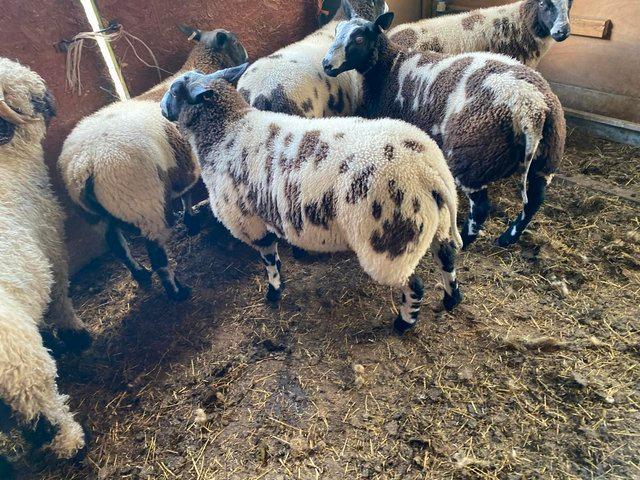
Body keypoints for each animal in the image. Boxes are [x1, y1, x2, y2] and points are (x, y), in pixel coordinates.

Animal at [58, 27, 248, 301]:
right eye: (236, 41)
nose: (247, 56)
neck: (200, 67)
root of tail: (85, 165)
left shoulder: (181, 165)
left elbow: (185, 192)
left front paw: (190, 219)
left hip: (98, 217)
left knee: (118, 247)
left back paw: (140, 274)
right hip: (143, 205)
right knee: (158, 257)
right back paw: (177, 291)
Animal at [161, 65, 464, 333]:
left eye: (175, 90)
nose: (162, 108)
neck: (225, 132)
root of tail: (427, 168)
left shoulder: (249, 222)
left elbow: (269, 260)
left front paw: (274, 292)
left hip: (391, 244)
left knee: (414, 287)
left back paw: (404, 323)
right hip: (437, 223)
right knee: (447, 258)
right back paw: (451, 299)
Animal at [323, 12, 566, 248]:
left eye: (359, 39)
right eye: (336, 33)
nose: (326, 64)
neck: (389, 67)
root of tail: (531, 107)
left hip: (473, 155)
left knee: (481, 209)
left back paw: (464, 242)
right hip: (546, 157)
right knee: (534, 201)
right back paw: (507, 238)